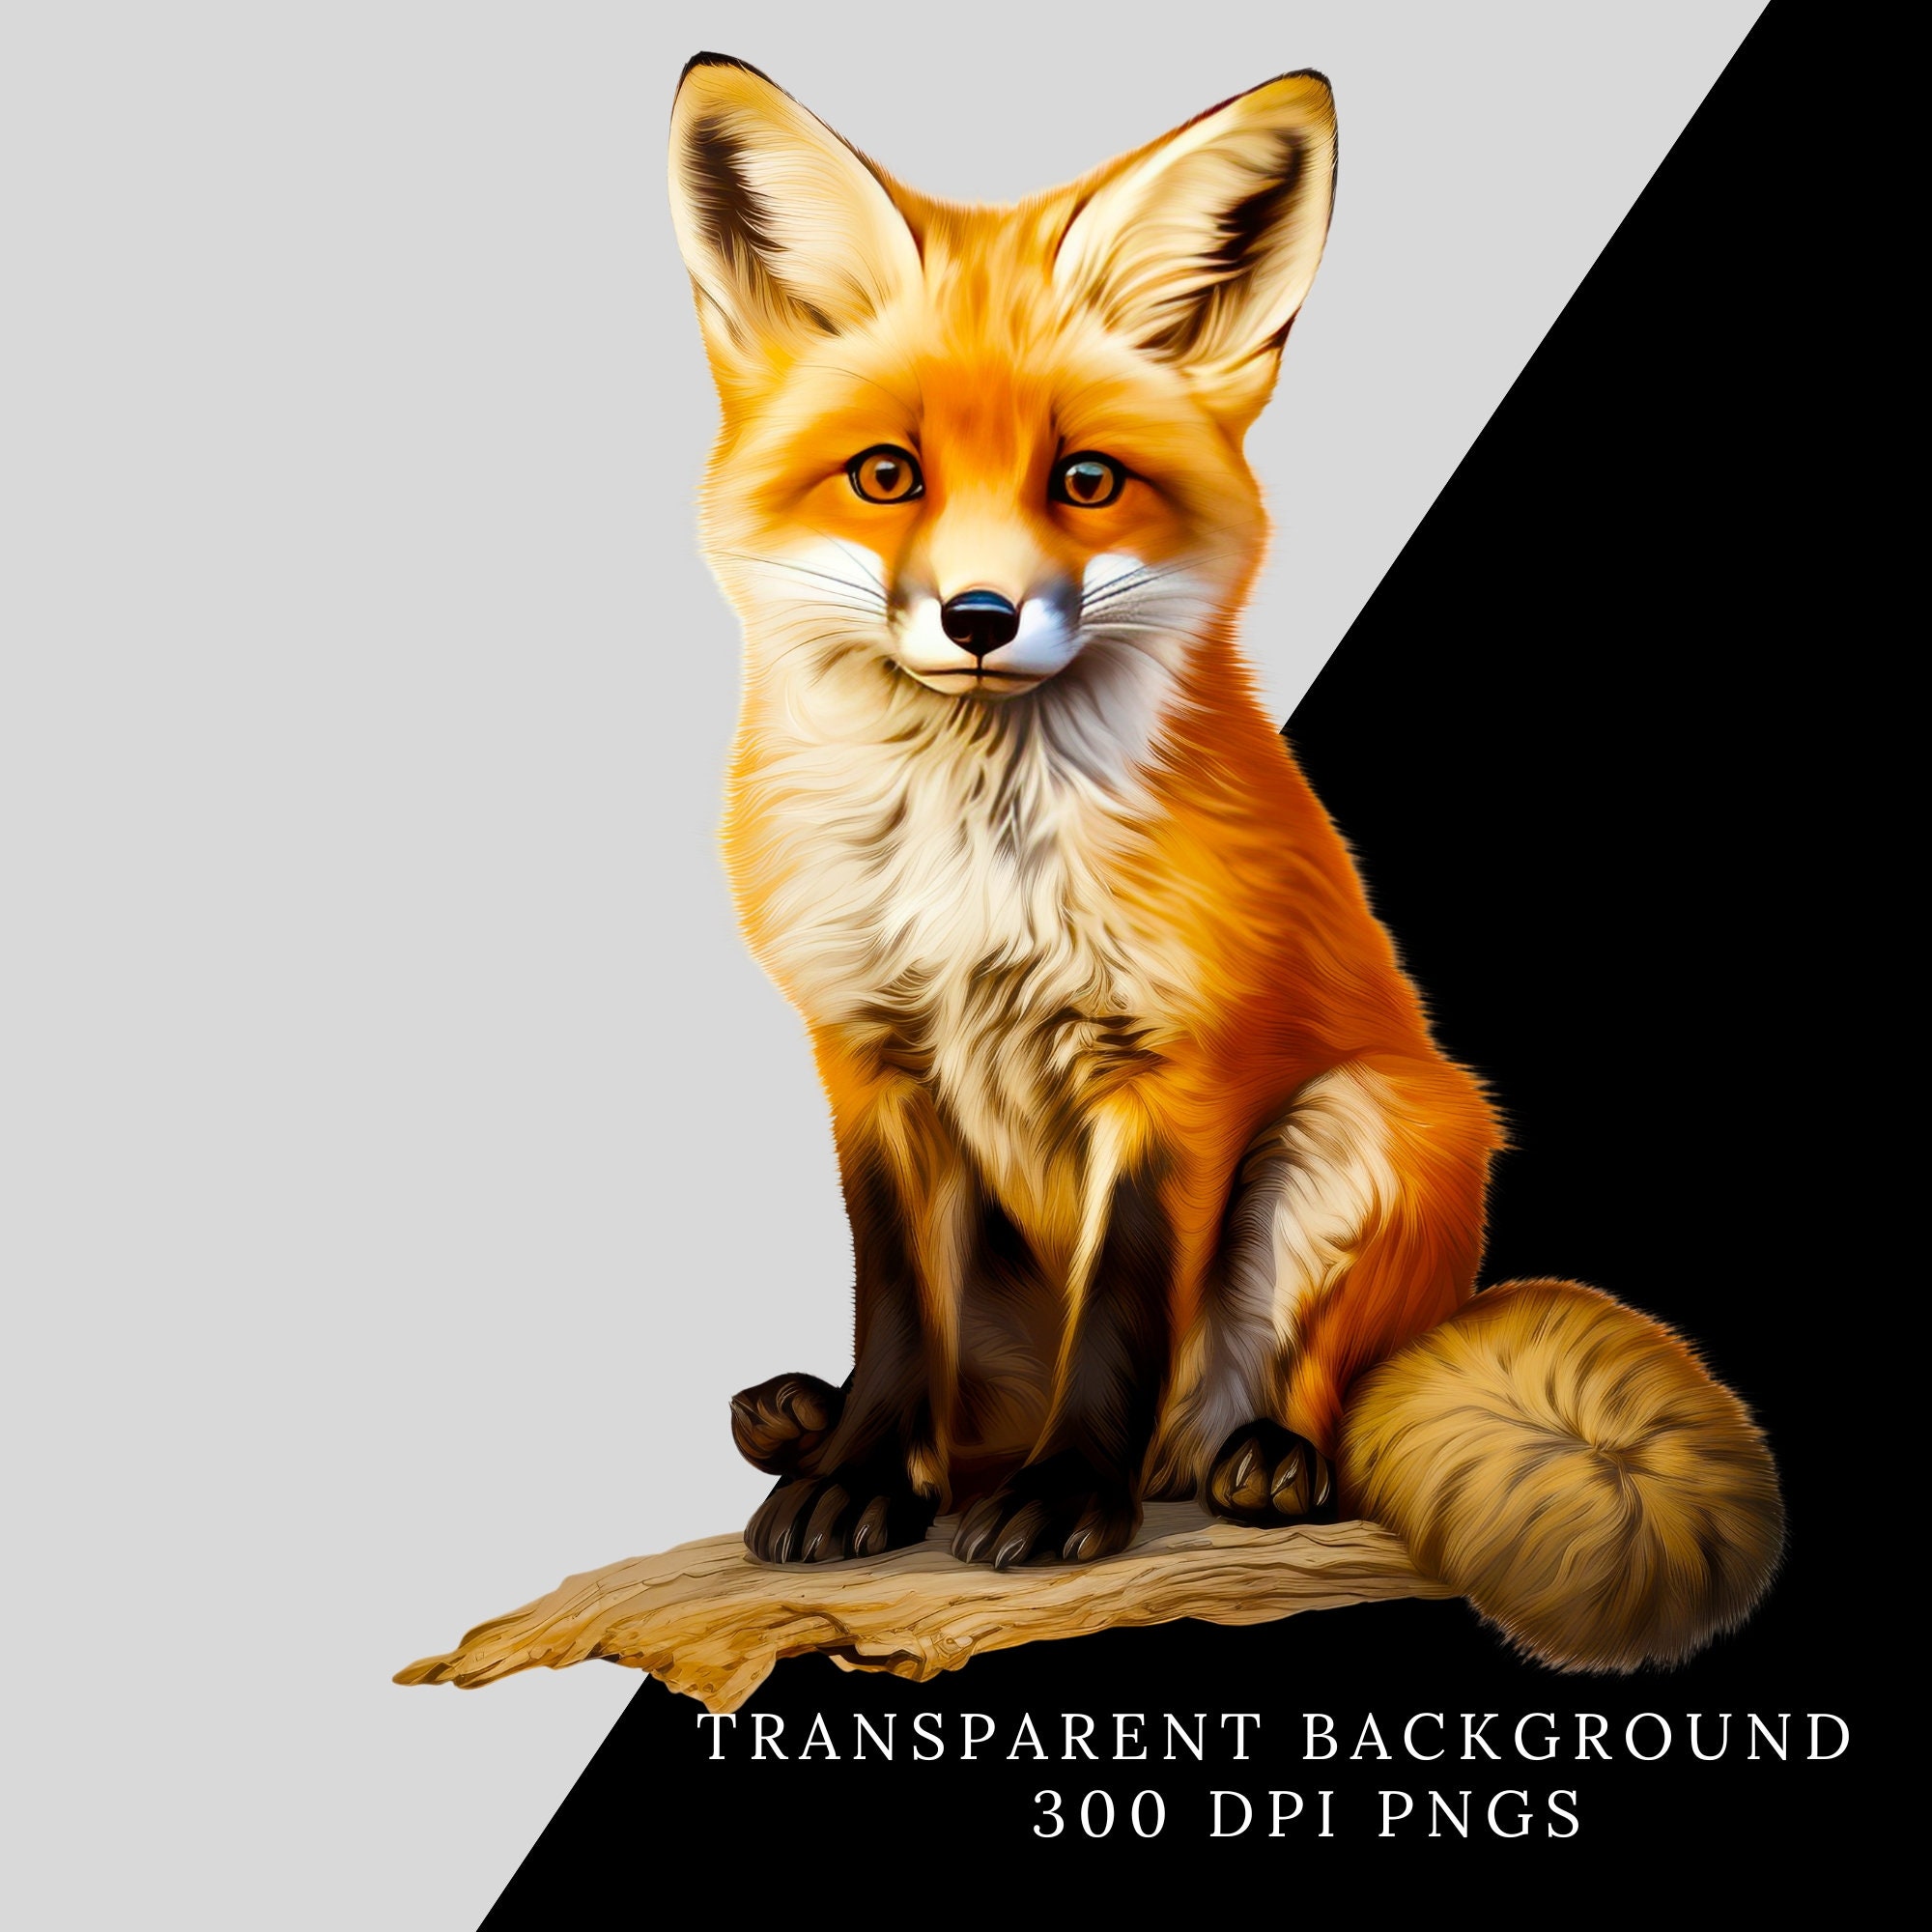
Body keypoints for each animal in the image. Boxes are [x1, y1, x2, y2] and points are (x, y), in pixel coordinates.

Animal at [665, 53, 1784, 1670]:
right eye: (885, 475)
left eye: (1086, 479)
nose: (982, 617)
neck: (974, 860)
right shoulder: (867, 1059)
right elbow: (893, 1315)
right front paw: (859, 1476)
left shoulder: (1176, 1073)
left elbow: (1124, 1317)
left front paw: (1069, 1504)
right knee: (970, 1411)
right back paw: (832, 1432)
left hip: (1371, 1124)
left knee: (1264, 1417)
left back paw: (1262, 1464)